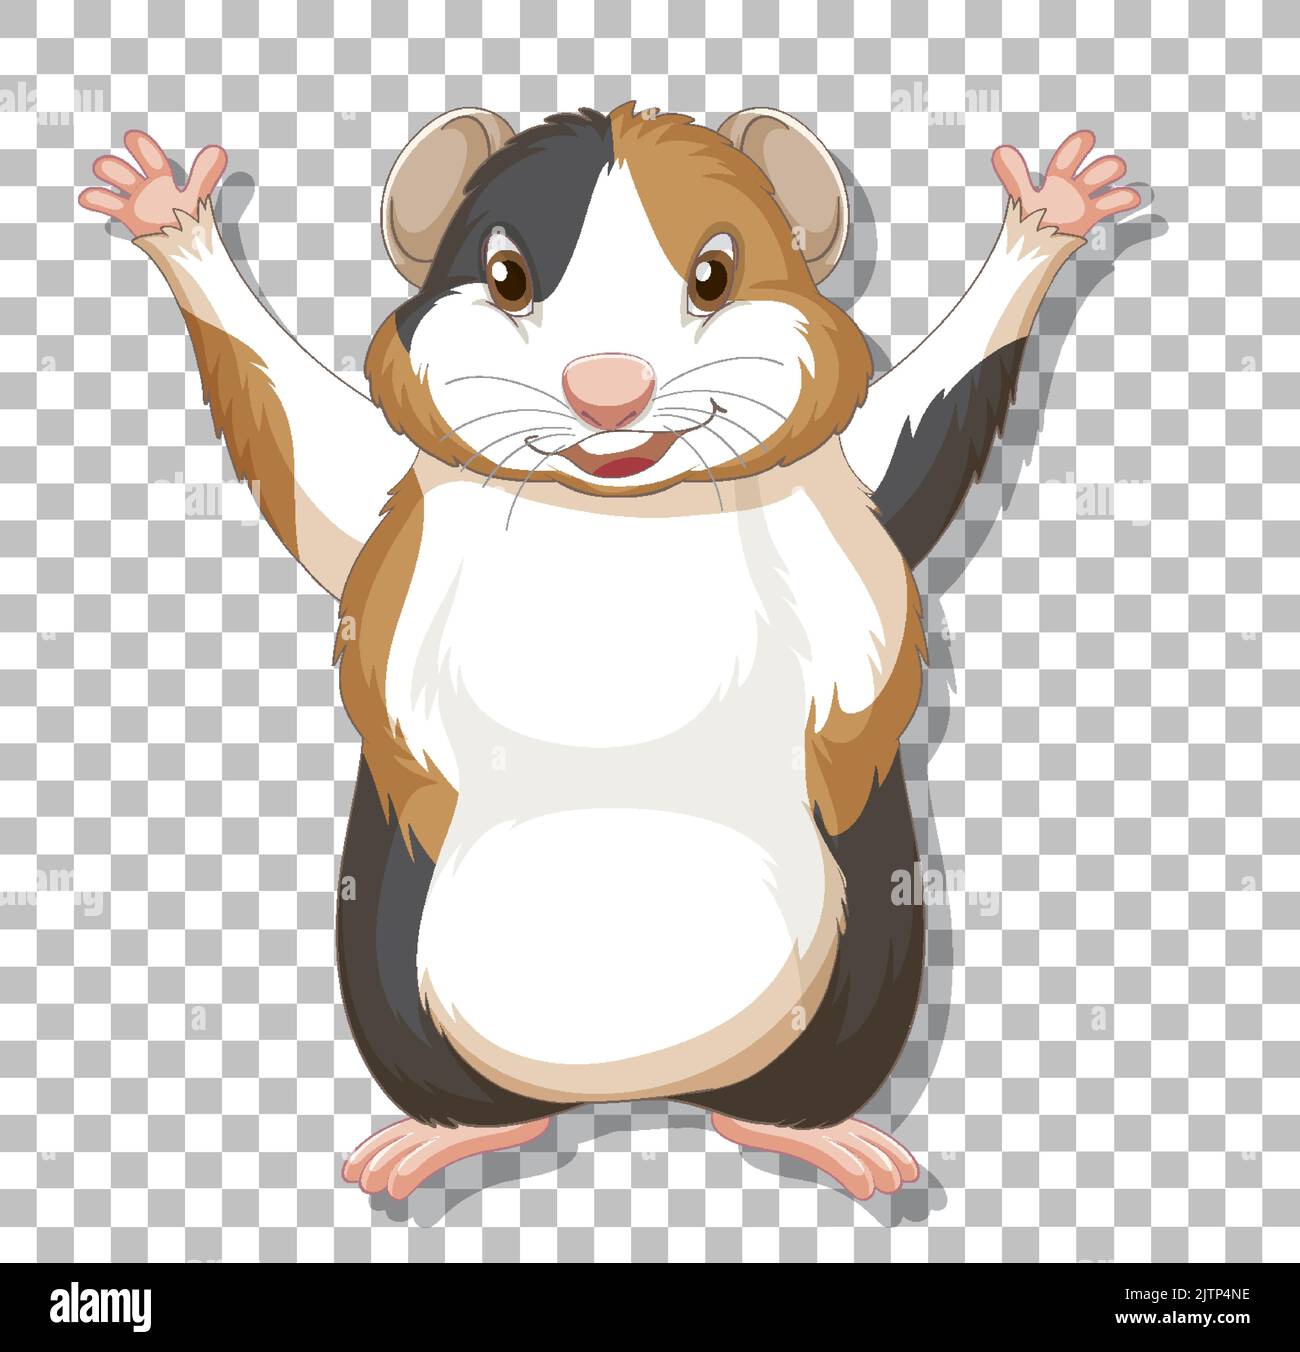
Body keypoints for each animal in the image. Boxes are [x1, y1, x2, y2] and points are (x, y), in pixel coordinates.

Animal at [81, 107, 1137, 1200]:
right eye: (507, 276)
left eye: (713, 273)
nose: (607, 392)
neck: (620, 501)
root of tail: (634, 1090)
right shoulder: (387, 497)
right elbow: (310, 445)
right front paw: (170, 216)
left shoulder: (856, 485)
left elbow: (922, 413)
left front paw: (1049, 218)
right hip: (390, 966)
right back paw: (447, 1134)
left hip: (868, 963)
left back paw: (816, 1132)